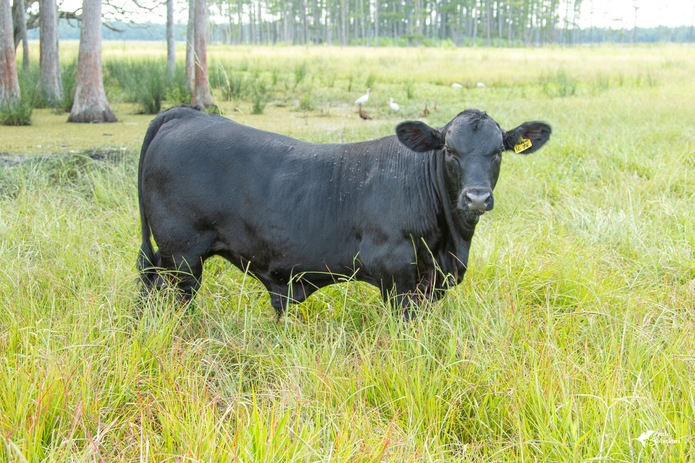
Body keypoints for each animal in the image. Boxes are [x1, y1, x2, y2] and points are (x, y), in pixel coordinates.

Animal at [137, 106, 551, 319]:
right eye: (450, 151)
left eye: (498, 151)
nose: (476, 198)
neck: (451, 244)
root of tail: (186, 114)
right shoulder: (397, 275)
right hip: (182, 256)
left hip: (169, 256)